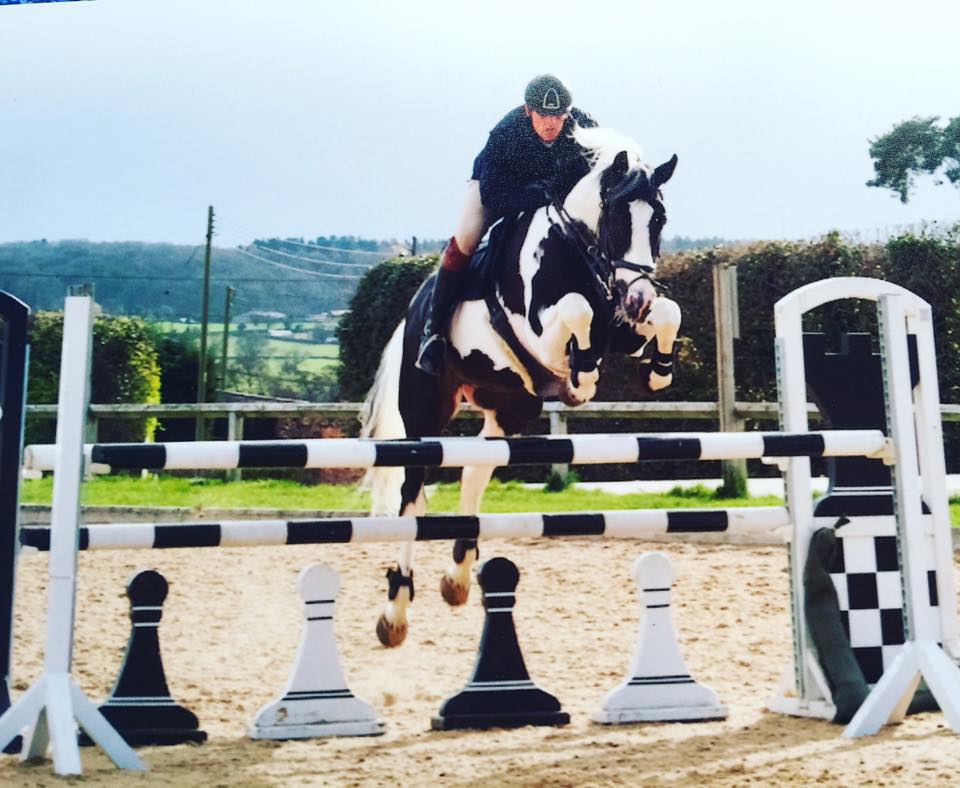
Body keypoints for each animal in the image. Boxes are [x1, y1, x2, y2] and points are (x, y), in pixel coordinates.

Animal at [360, 126, 680, 647]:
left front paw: (659, 370)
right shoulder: (542, 329)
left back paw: (457, 577)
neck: (573, 248)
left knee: (475, 470)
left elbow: (666, 315)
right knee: (413, 493)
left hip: (510, 407)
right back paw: (396, 612)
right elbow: (576, 310)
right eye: (616, 217)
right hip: (423, 410)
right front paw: (582, 376)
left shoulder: (623, 330)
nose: (637, 298)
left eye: (661, 219)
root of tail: (411, 312)